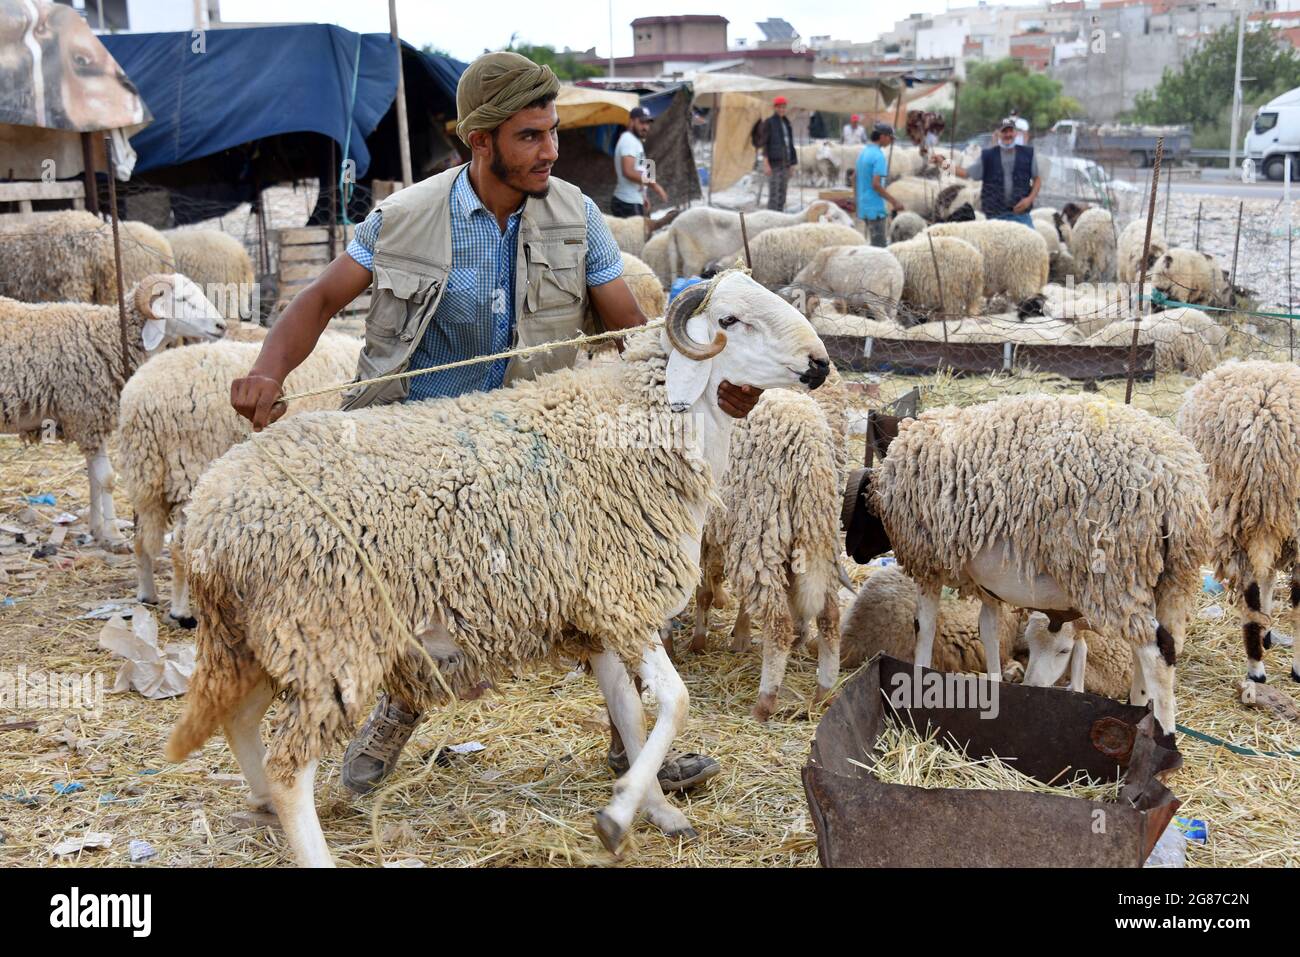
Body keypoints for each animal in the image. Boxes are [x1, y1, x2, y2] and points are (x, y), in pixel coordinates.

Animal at [0, 275, 226, 548]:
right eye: (182, 299)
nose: (221, 326)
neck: (110, 336)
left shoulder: (90, 421)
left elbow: (93, 480)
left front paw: (97, 529)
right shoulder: (87, 415)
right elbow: (106, 479)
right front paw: (113, 533)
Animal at [119, 333, 363, 627]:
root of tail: (138, 401)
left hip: (143, 475)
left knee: (141, 535)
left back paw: (147, 595)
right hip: (189, 469)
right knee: (179, 546)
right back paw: (182, 612)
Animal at [687, 369, 851, 719]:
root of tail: (809, 442)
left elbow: (702, 589)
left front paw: (695, 641)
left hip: (757, 530)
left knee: (778, 622)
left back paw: (765, 701)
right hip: (815, 530)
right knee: (829, 615)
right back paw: (823, 692)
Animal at [844, 393, 1212, 739]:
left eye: (856, 518)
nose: (856, 557)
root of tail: (1181, 490)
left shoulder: (928, 562)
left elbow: (925, 626)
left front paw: (920, 677)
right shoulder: (985, 583)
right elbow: (988, 629)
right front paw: (995, 683)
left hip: (1115, 575)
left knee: (1156, 653)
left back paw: (1164, 732)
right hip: (1170, 581)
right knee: (1160, 647)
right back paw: (1138, 708)